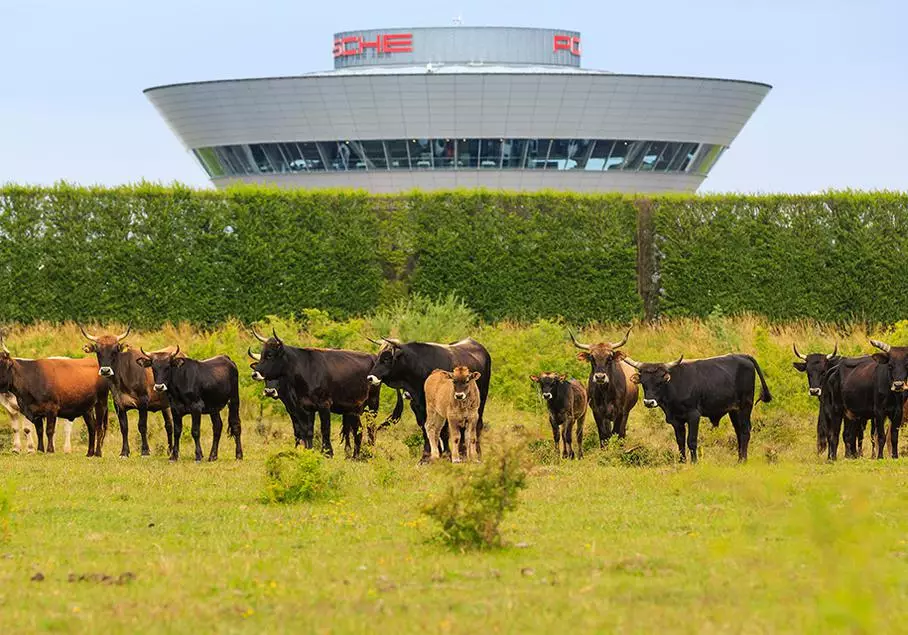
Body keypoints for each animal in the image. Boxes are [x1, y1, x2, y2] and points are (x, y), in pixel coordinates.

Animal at [247, 330, 396, 460]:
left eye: (270, 355)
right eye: (262, 354)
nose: (255, 374)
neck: (306, 369)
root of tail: (373, 357)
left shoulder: (323, 405)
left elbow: (325, 429)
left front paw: (328, 453)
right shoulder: (305, 408)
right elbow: (306, 431)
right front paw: (308, 451)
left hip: (373, 403)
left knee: (371, 429)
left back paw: (370, 453)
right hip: (353, 409)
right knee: (357, 431)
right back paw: (355, 456)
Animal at [364, 338, 494, 462]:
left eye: (386, 358)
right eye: (378, 357)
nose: (370, 378)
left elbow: (444, 431)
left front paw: (446, 455)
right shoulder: (418, 406)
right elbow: (425, 428)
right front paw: (426, 457)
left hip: (479, 403)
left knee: (477, 426)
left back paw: (475, 454)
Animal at [624, 352, 772, 462]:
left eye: (659, 382)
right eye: (643, 383)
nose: (649, 402)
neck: (674, 386)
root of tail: (743, 356)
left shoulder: (694, 416)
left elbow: (691, 441)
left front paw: (694, 462)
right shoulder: (676, 420)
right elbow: (680, 441)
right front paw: (682, 462)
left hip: (745, 406)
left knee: (745, 431)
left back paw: (743, 461)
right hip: (734, 411)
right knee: (739, 431)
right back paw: (739, 458)